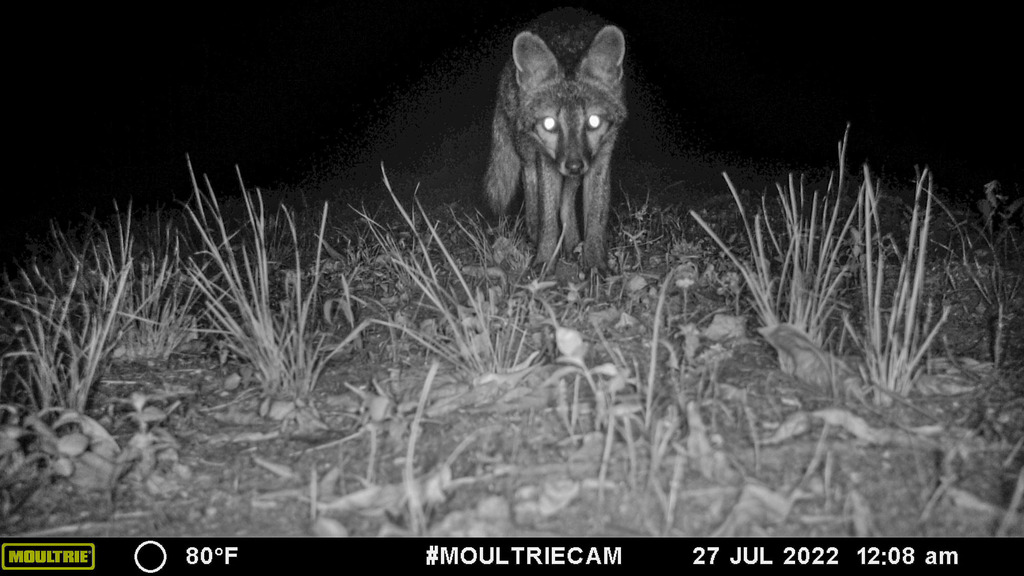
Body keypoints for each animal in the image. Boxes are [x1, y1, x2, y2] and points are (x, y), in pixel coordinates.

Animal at [484, 14, 627, 272]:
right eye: (549, 123)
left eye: (593, 121)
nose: (574, 165)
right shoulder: (546, 161)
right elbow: (547, 216)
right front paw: (544, 260)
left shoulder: (600, 159)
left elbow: (596, 219)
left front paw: (595, 264)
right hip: (529, 156)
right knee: (533, 195)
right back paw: (536, 234)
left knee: (567, 201)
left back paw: (571, 243)